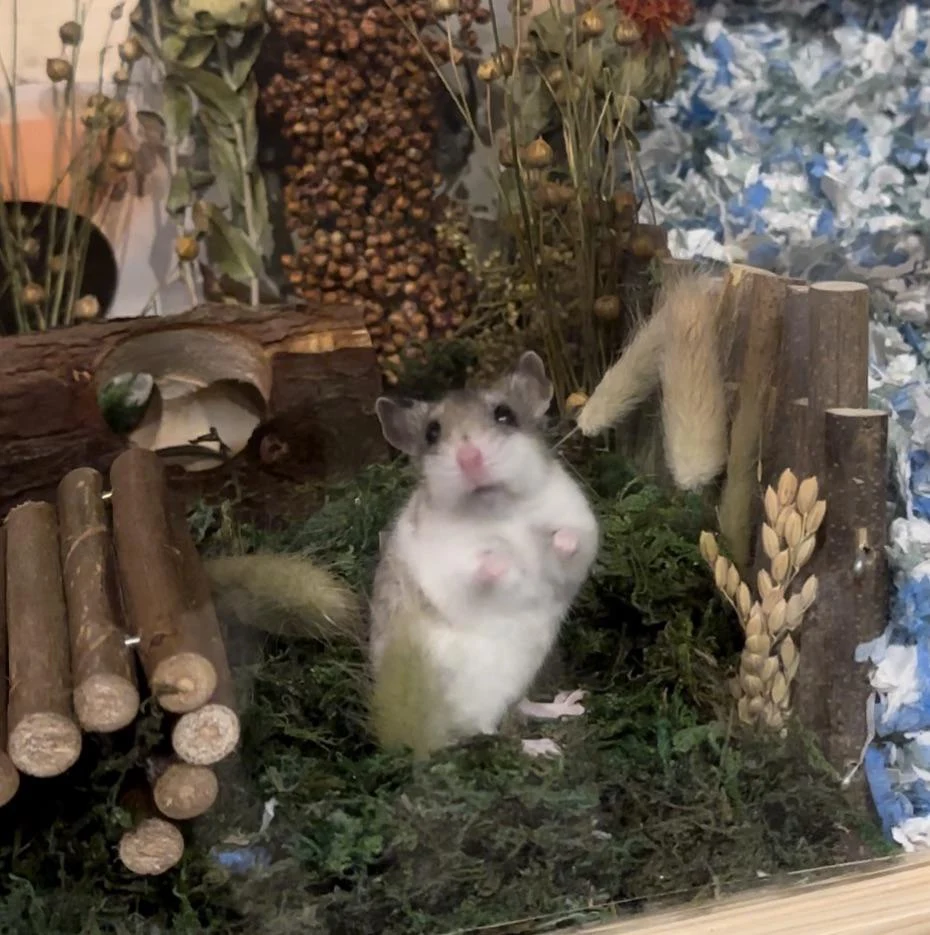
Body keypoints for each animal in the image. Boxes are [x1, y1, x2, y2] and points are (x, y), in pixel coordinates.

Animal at [369, 351, 600, 758]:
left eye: (504, 414)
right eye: (432, 433)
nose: (469, 458)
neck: (498, 510)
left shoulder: (580, 527)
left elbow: (572, 542)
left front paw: (554, 542)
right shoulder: (448, 572)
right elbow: (479, 569)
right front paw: (504, 559)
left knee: (522, 705)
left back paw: (568, 704)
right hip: (474, 701)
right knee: (492, 733)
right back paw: (543, 746)